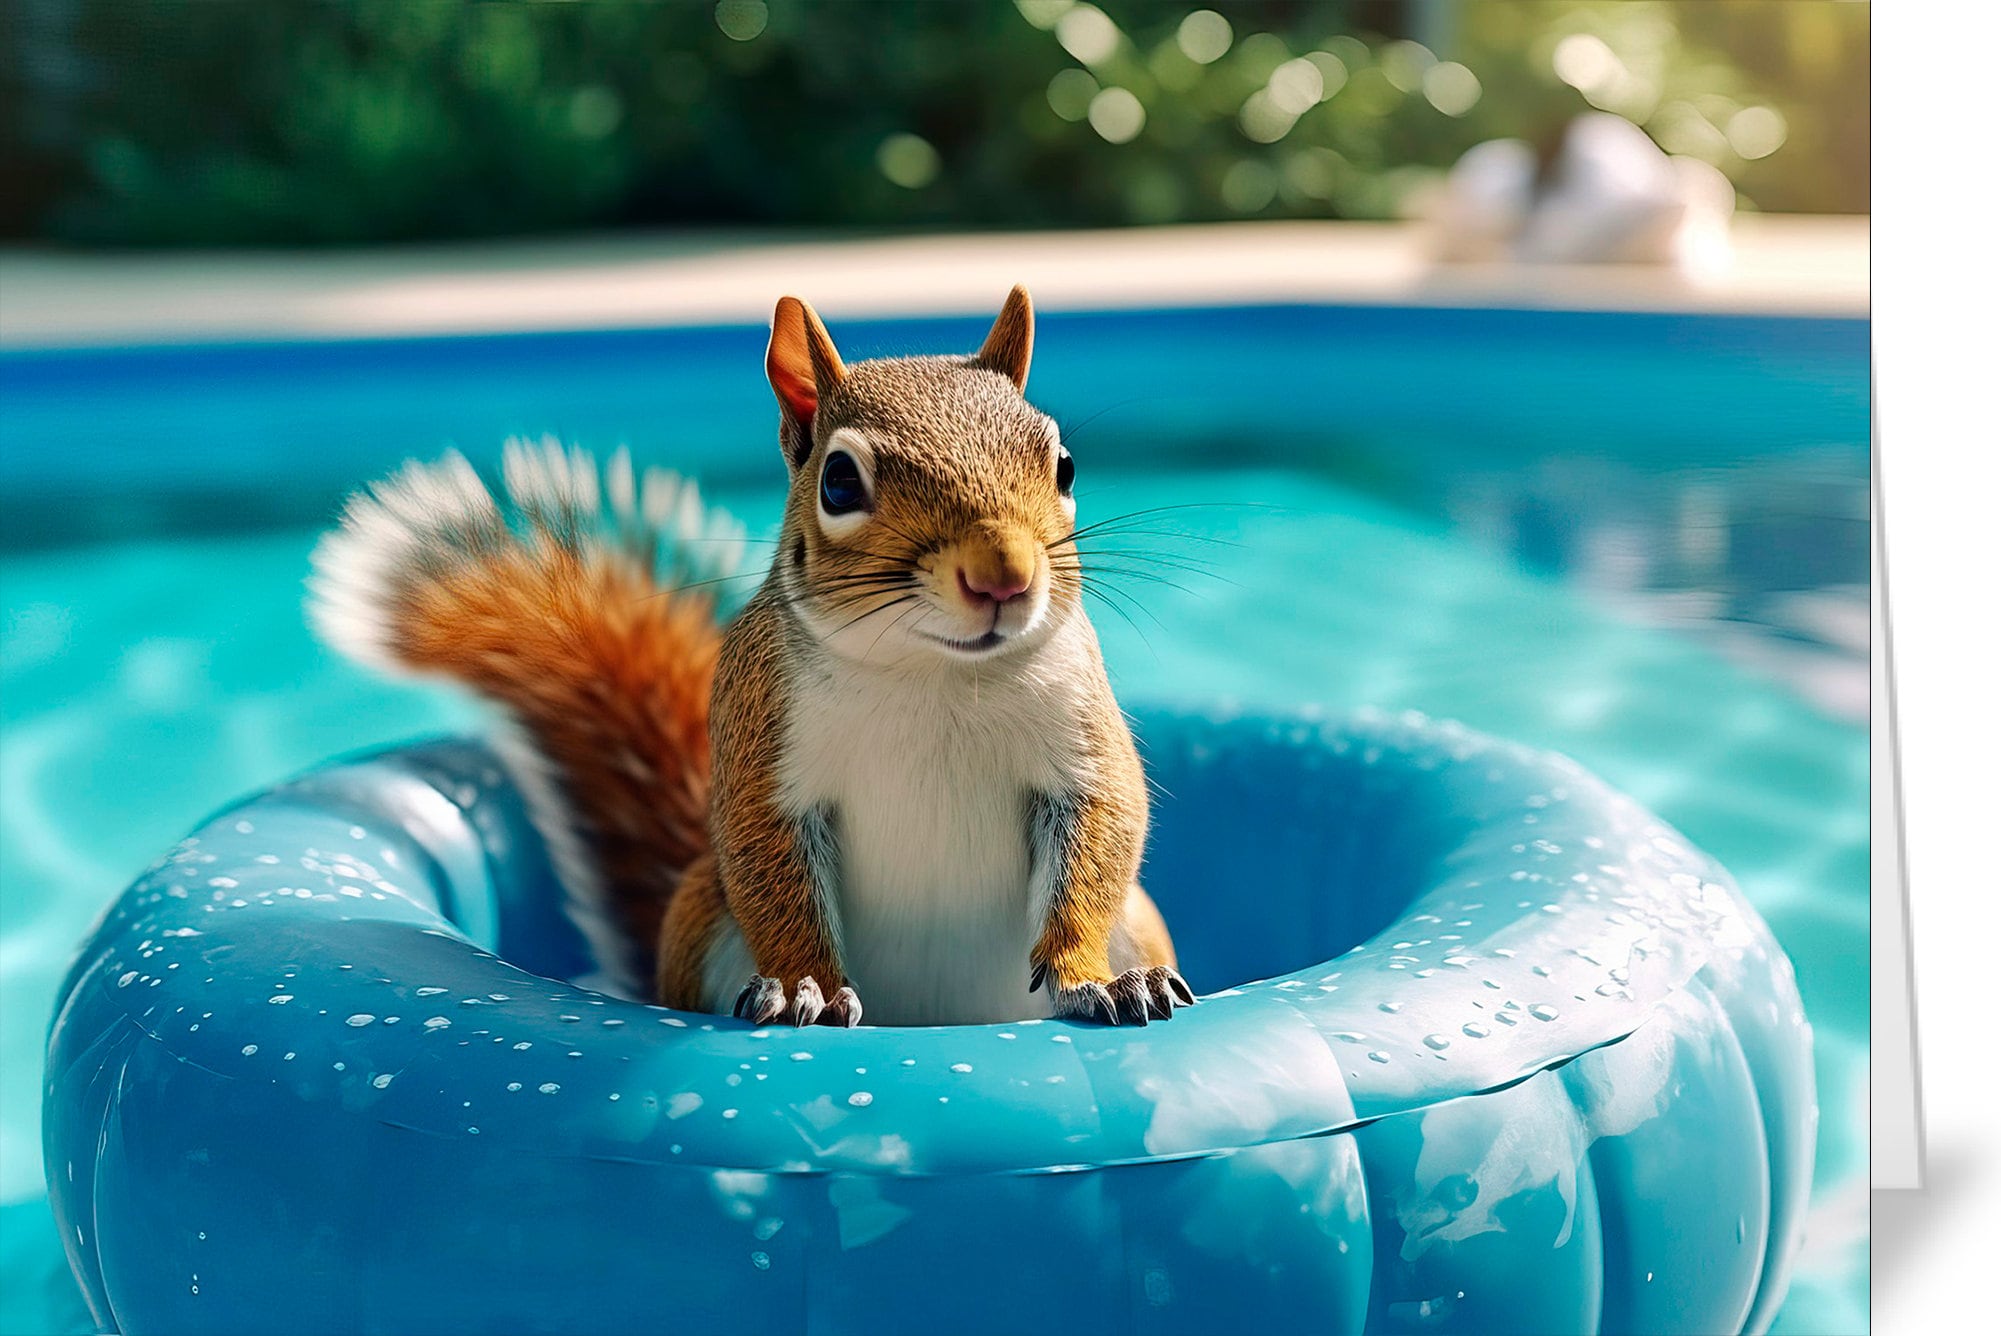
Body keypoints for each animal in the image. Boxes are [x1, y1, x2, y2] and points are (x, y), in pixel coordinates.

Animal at [309, 286, 1191, 1029]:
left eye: (1063, 465)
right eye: (839, 482)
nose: (1002, 576)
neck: (935, 673)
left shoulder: (1079, 743)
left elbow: (1101, 841)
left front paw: (1092, 977)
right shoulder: (765, 753)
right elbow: (774, 877)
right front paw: (810, 987)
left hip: (1140, 919)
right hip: (704, 912)